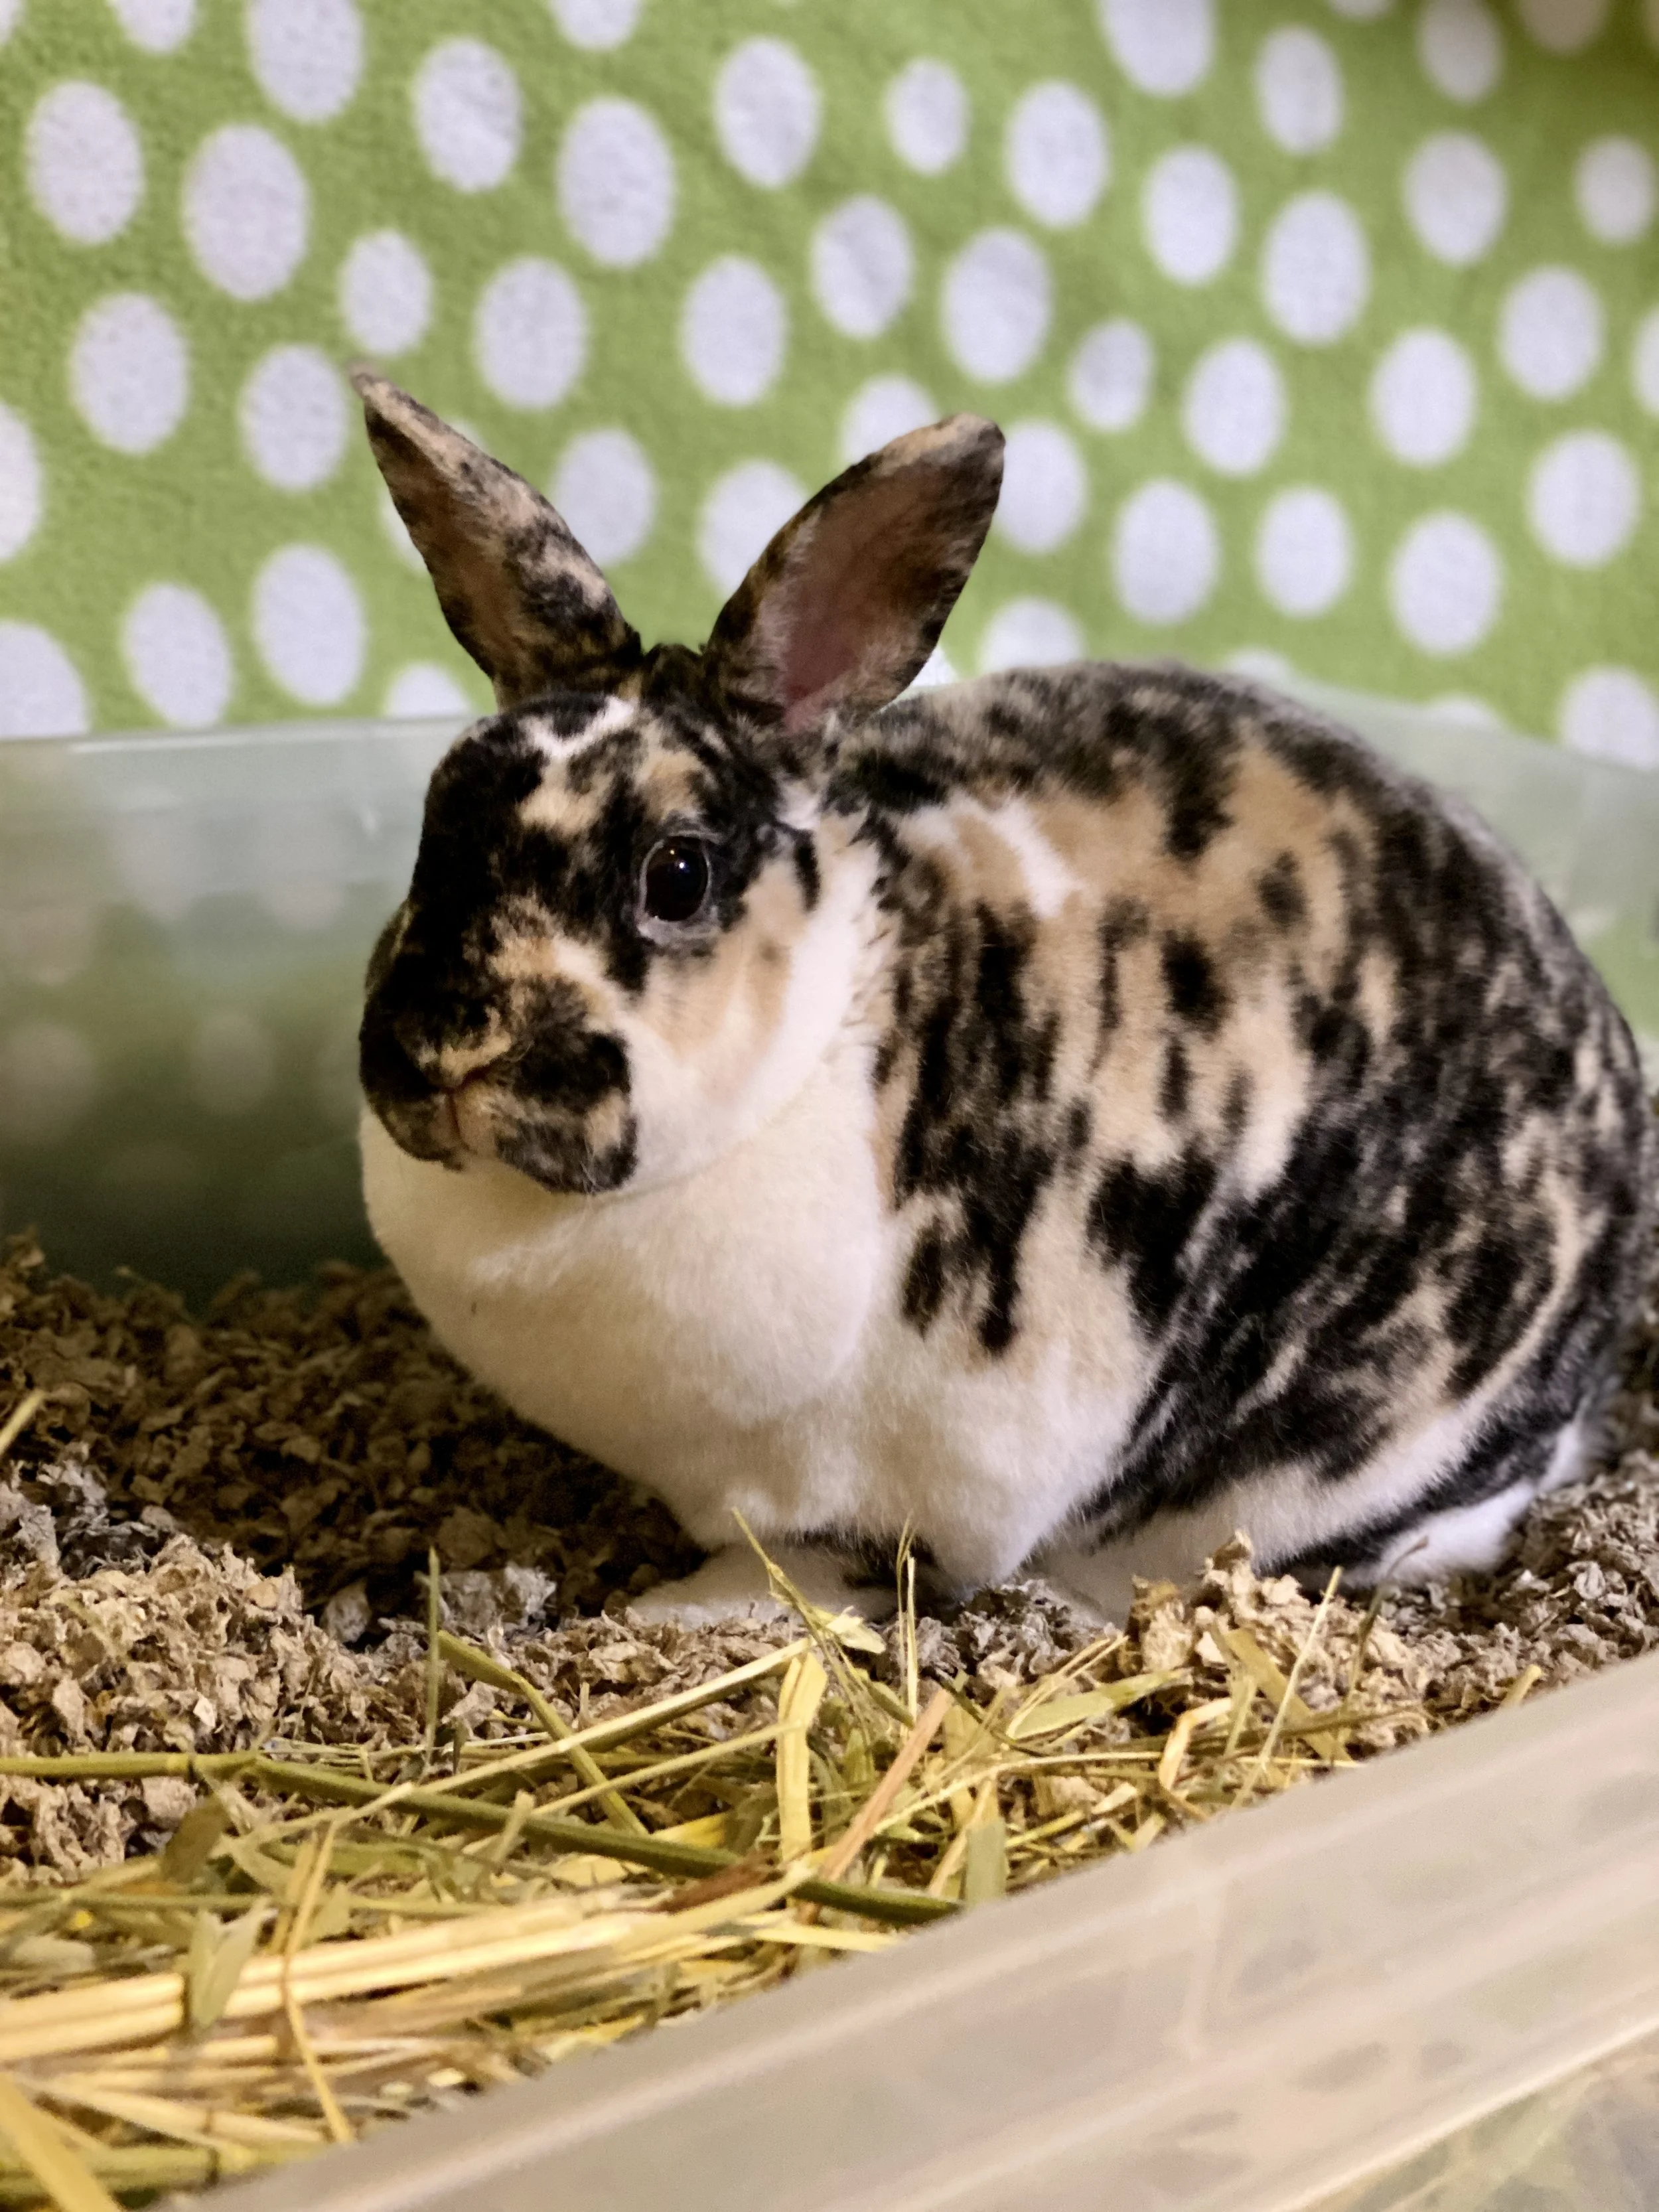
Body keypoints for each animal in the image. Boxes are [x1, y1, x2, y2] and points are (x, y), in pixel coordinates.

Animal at [352, 369, 1655, 1628]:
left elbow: (814, 1561)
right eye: (436, 813)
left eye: (678, 874)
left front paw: (687, 1613)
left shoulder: (906, 1476)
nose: (448, 1048)